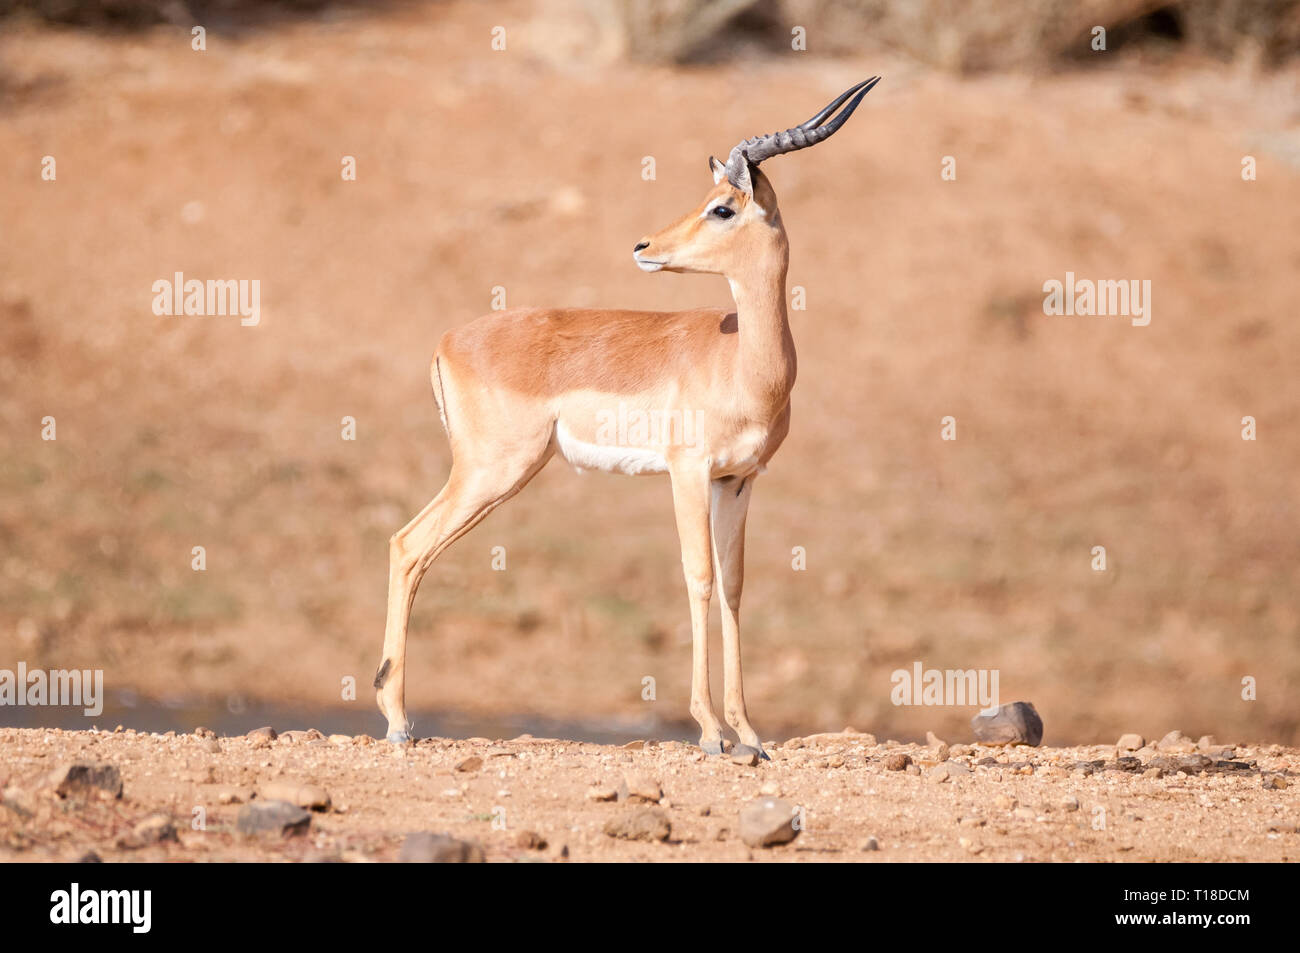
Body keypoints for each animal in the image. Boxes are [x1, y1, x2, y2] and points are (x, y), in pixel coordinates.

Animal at [374, 78, 881, 758]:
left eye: (722, 208)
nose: (645, 248)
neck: (742, 363)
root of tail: (447, 341)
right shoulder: (687, 472)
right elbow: (697, 578)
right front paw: (711, 732)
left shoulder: (737, 480)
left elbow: (733, 587)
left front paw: (750, 734)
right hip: (493, 471)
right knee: (409, 544)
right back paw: (398, 723)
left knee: (411, 545)